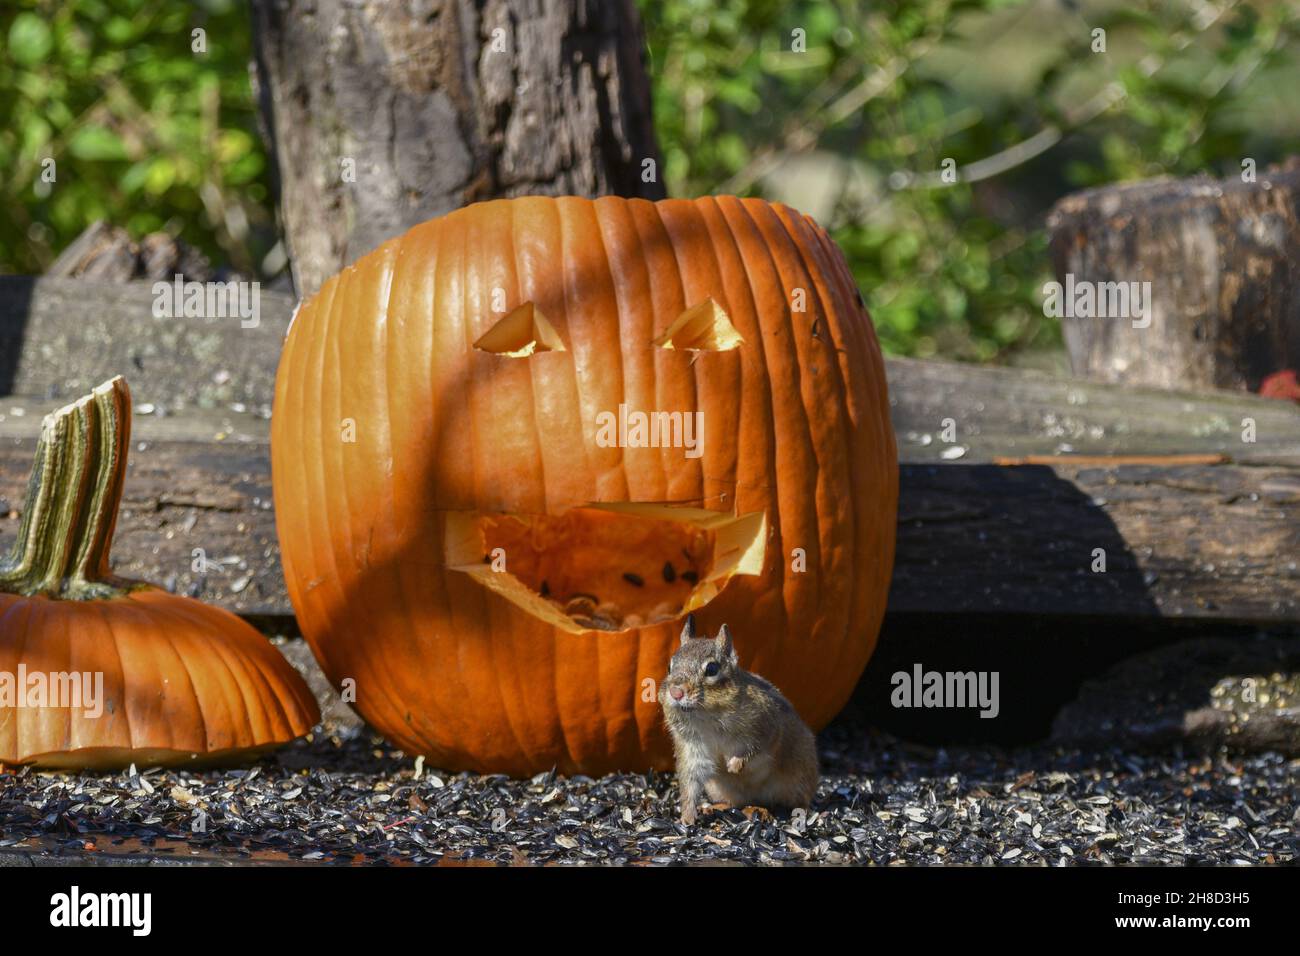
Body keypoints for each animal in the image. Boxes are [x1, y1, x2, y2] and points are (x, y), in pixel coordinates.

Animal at [658, 615, 819, 824]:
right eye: (669, 666)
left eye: (712, 668)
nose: (675, 692)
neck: (706, 717)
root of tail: (758, 799)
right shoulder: (691, 749)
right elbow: (690, 784)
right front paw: (687, 818)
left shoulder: (767, 728)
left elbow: (755, 748)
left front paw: (733, 765)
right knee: (734, 803)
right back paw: (715, 807)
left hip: (800, 777)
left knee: (802, 800)